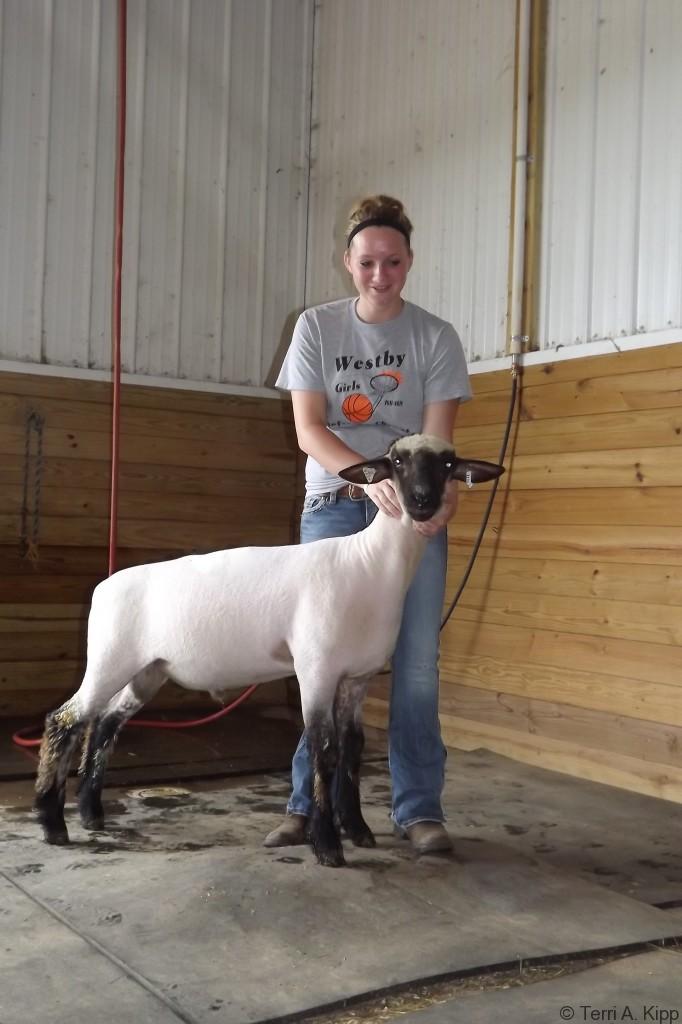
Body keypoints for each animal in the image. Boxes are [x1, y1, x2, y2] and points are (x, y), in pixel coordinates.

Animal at [34, 434, 503, 867]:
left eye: (447, 464)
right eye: (397, 462)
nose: (423, 502)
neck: (370, 564)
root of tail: (104, 586)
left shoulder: (357, 677)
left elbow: (352, 747)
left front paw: (356, 829)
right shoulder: (315, 670)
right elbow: (324, 750)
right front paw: (327, 845)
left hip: (148, 670)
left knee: (105, 724)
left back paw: (92, 814)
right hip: (109, 658)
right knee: (66, 720)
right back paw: (53, 824)